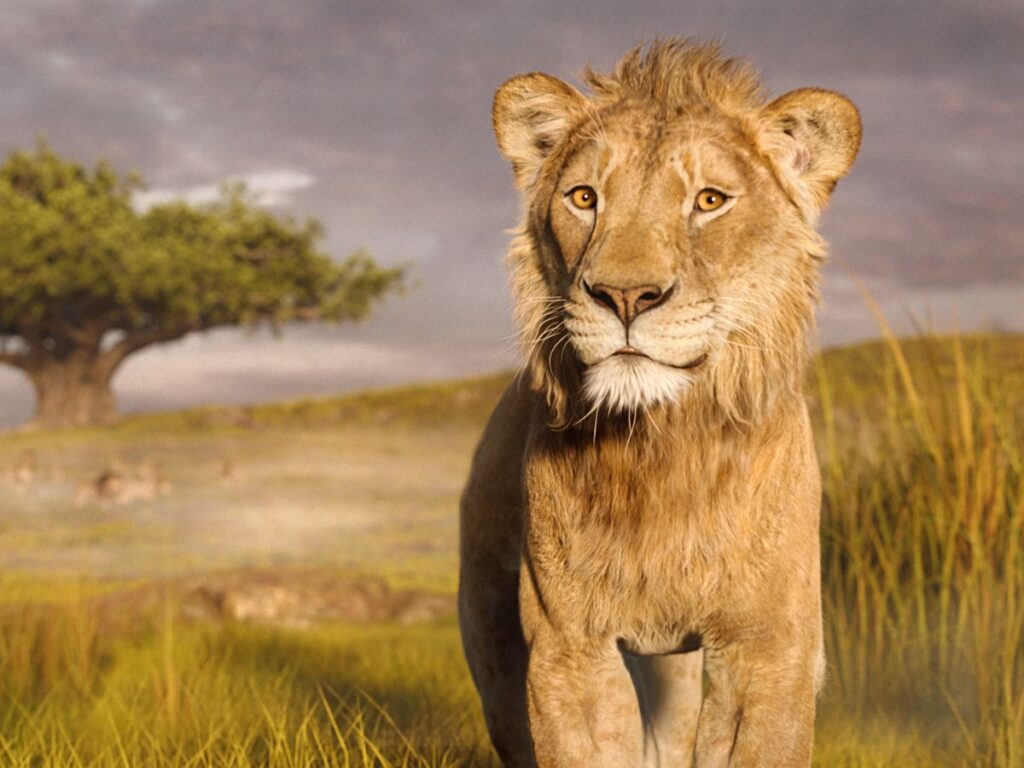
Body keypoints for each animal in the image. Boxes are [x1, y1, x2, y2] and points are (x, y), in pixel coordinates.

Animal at [458, 39, 860, 767]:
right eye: (584, 197)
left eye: (709, 200)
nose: (624, 296)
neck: (661, 449)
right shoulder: (569, 646)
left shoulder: (768, 648)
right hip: (493, 638)